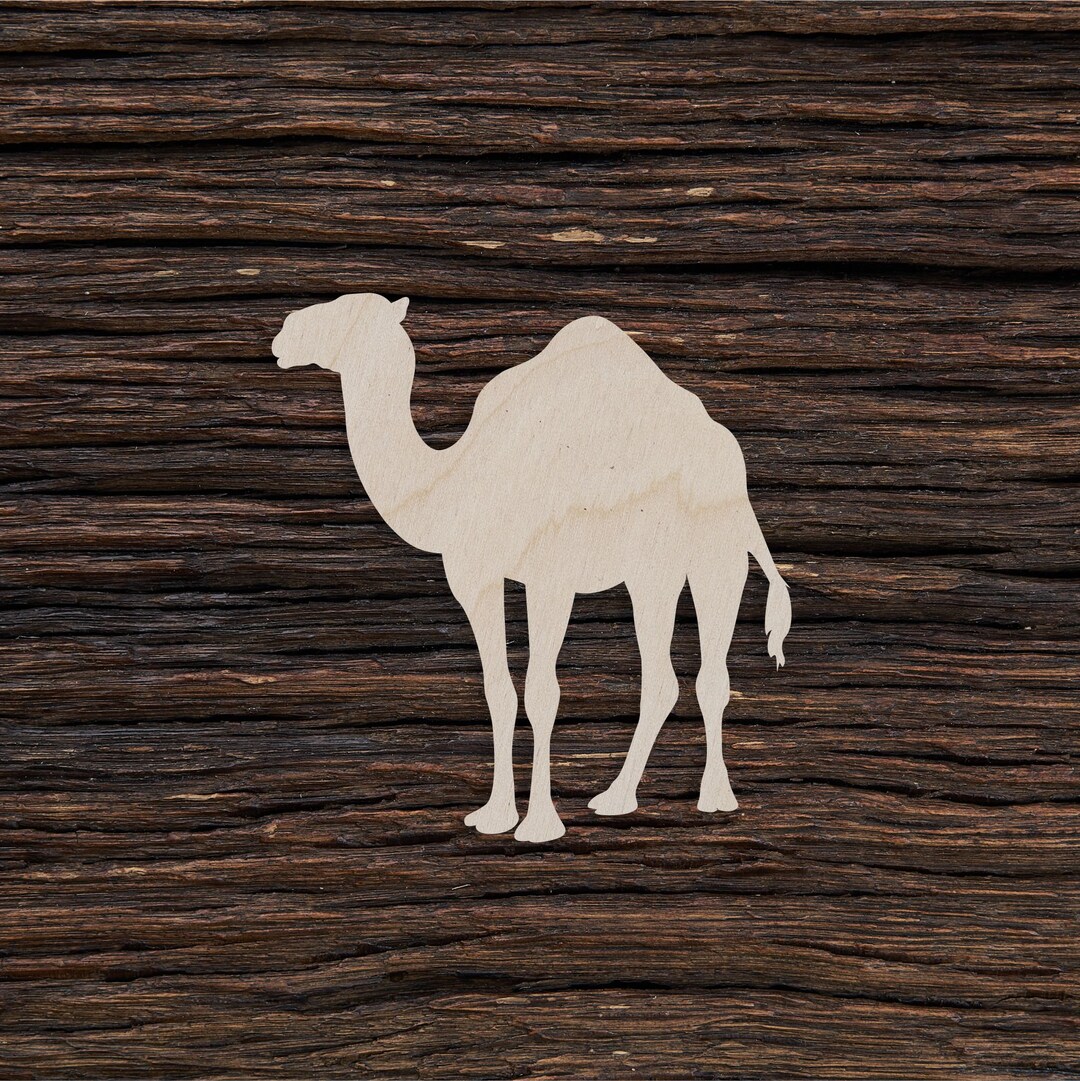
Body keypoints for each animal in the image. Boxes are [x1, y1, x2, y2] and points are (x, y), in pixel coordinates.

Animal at [273, 293, 790, 843]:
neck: (452, 479)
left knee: (711, 675)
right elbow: (497, 691)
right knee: (660, 677)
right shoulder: (476, 576)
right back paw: (616, 797)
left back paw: (715, 798)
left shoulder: (552, 576)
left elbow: (543, 692)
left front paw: (540, 822)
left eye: (341, 312)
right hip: (652, 571)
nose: (284, 331)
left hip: (717, 551)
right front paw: (493, 814)